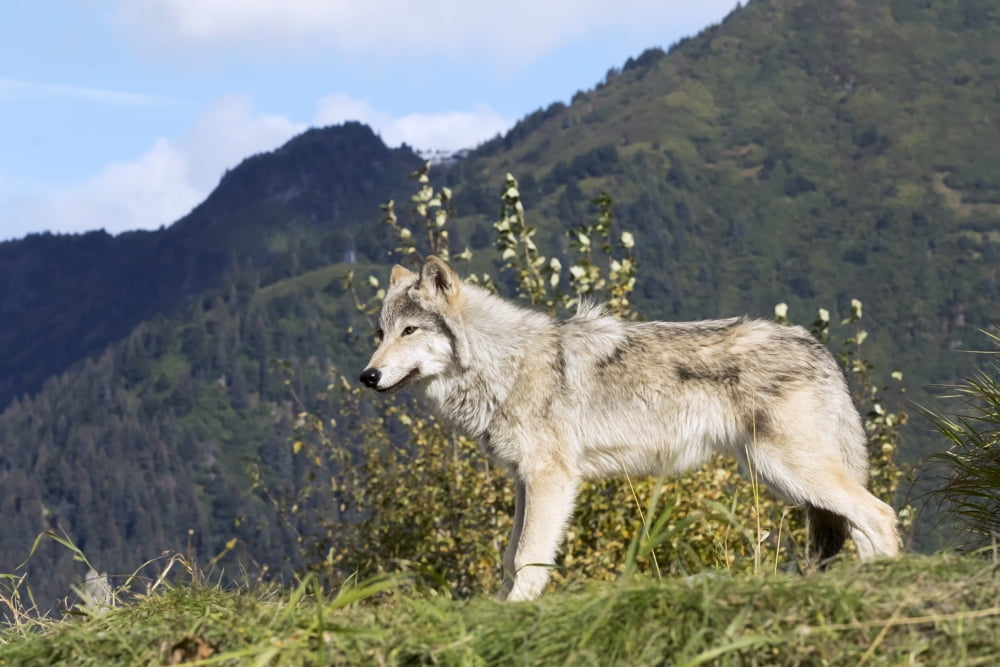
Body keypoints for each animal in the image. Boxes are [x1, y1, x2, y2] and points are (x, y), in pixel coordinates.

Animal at [359, 256, 900, 601]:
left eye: (410, 331)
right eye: (380, 334)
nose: (368, 376)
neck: (503, 365)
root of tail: (818, 347)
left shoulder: (551, 480)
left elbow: (529, 558)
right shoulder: (524, 482)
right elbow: (511, 557)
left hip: (788, 470)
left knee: (880, 514)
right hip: (785, 477)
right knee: (862, 524)